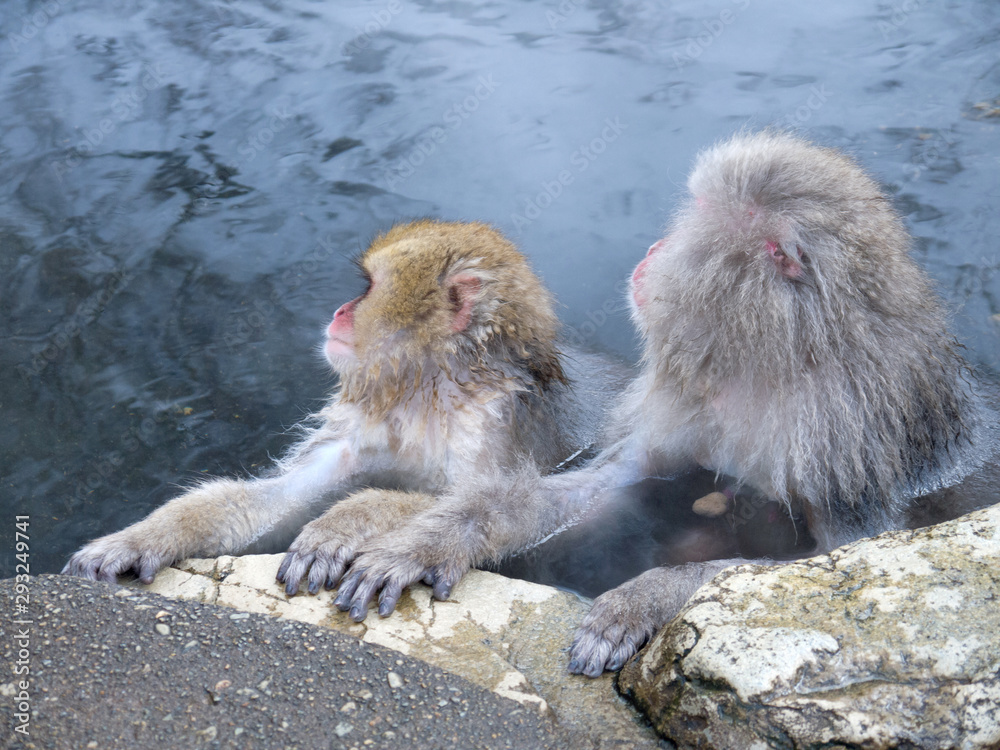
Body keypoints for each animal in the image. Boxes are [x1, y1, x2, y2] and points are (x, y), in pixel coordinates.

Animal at [63, 219, 625, 590]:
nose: (339, 311)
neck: (431, 387)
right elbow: (283, 495)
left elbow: (490, 498)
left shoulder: (497, 429)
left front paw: (345, 521)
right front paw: (147, 536)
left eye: (369, 289)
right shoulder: (365, 421)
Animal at [328, 132, 999, 674]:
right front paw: (432, 541)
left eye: (688, 227)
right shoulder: (690, 396)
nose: (652, 249)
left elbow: (837, 559)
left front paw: (641, 598)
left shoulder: (845, 436)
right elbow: (595, 488)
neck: (774, 360)